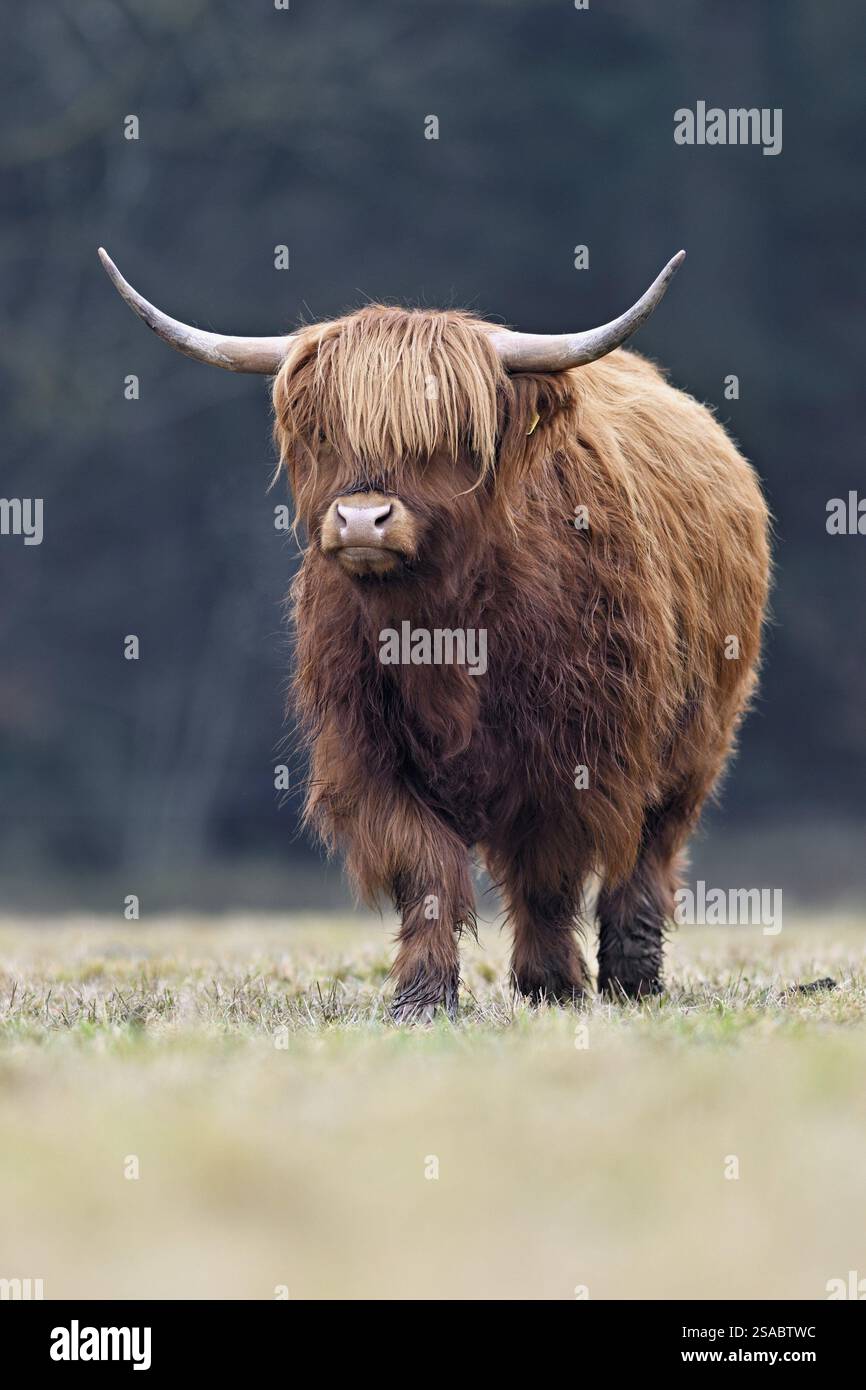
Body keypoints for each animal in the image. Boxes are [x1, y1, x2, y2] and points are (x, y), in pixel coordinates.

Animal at [99, 247, 770, 1020]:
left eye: (442, 440)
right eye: (326, 434)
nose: (362, 519)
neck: (442, 628)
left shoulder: (573, 752)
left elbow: (547, 876)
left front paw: (551, 985)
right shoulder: (367, 750)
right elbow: (422, 867)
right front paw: (422, 997)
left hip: (696, 742)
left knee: (649, 853)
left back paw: (634, 978)